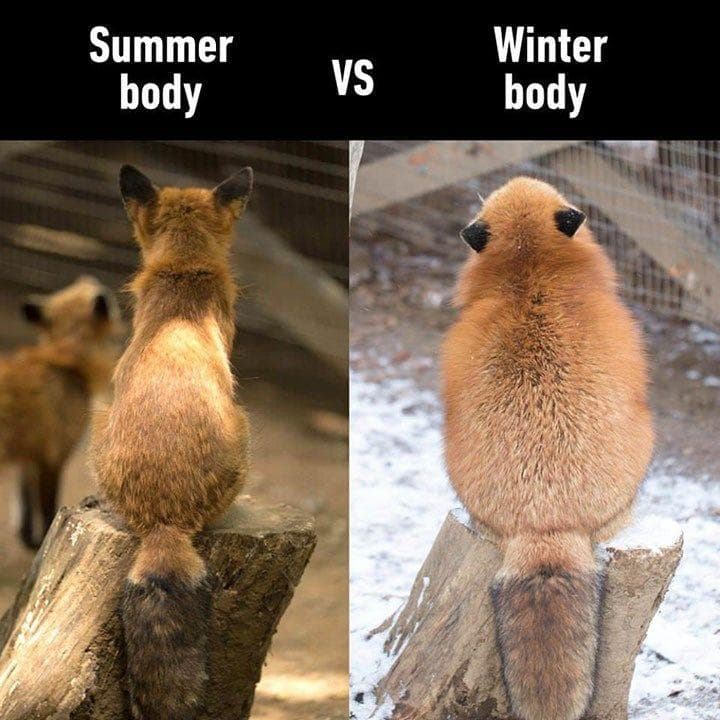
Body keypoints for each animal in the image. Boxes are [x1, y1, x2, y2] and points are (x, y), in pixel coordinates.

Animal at [0, 275, 122, 549]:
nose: (88, 277)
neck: (67, 363)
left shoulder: (29, 456)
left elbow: (25, 511)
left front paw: (31, 542)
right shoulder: (54, 456)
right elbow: (48, 508)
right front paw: (41, 542)